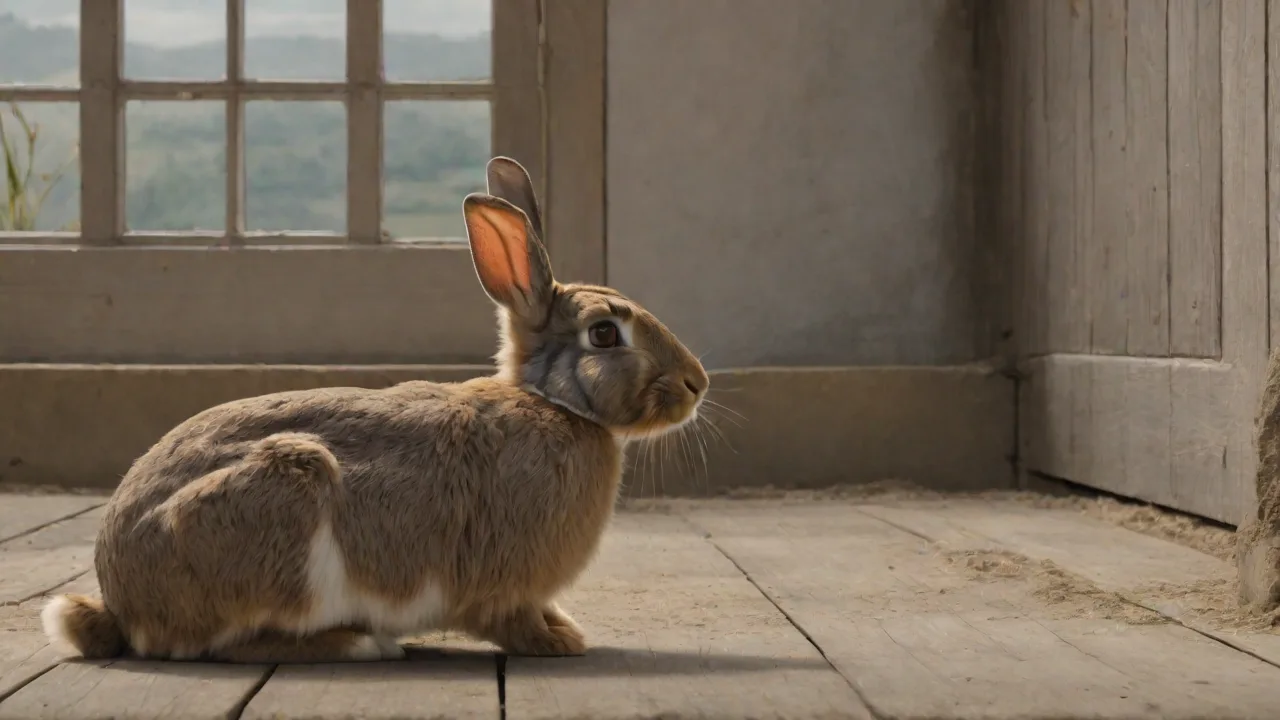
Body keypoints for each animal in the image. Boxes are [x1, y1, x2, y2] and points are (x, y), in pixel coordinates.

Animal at [40, 156, 709, 664]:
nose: (697, 383)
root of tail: (124, 603)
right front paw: (559, 643)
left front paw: (566, 630)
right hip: (286, 505)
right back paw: (361, 643)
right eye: (605, 334)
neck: (553, 404)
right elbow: (513, 622)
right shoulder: (503, 590)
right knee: (234, 643)